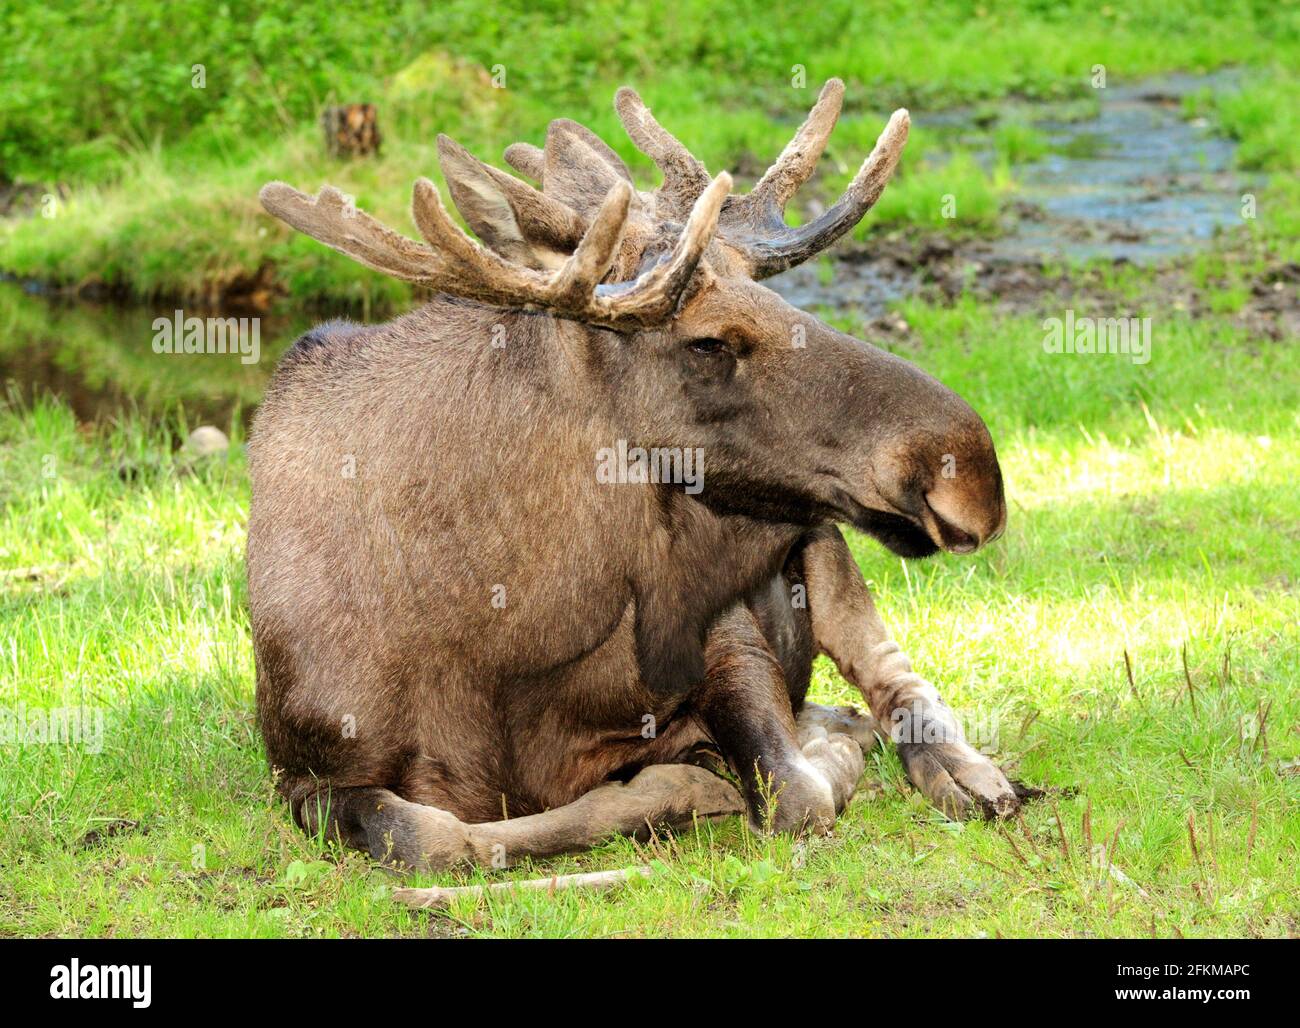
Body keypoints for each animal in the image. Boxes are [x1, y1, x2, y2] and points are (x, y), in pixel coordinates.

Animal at [249, 79, 1036, 877]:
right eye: (710, 341)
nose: (972, 473)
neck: (506, 641)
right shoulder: (308, 772)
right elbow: (429, 836)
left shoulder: (726, 639)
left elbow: (794, 793)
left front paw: (773, 760)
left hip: (818, 538)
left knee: (894, 678)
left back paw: (965, 772)